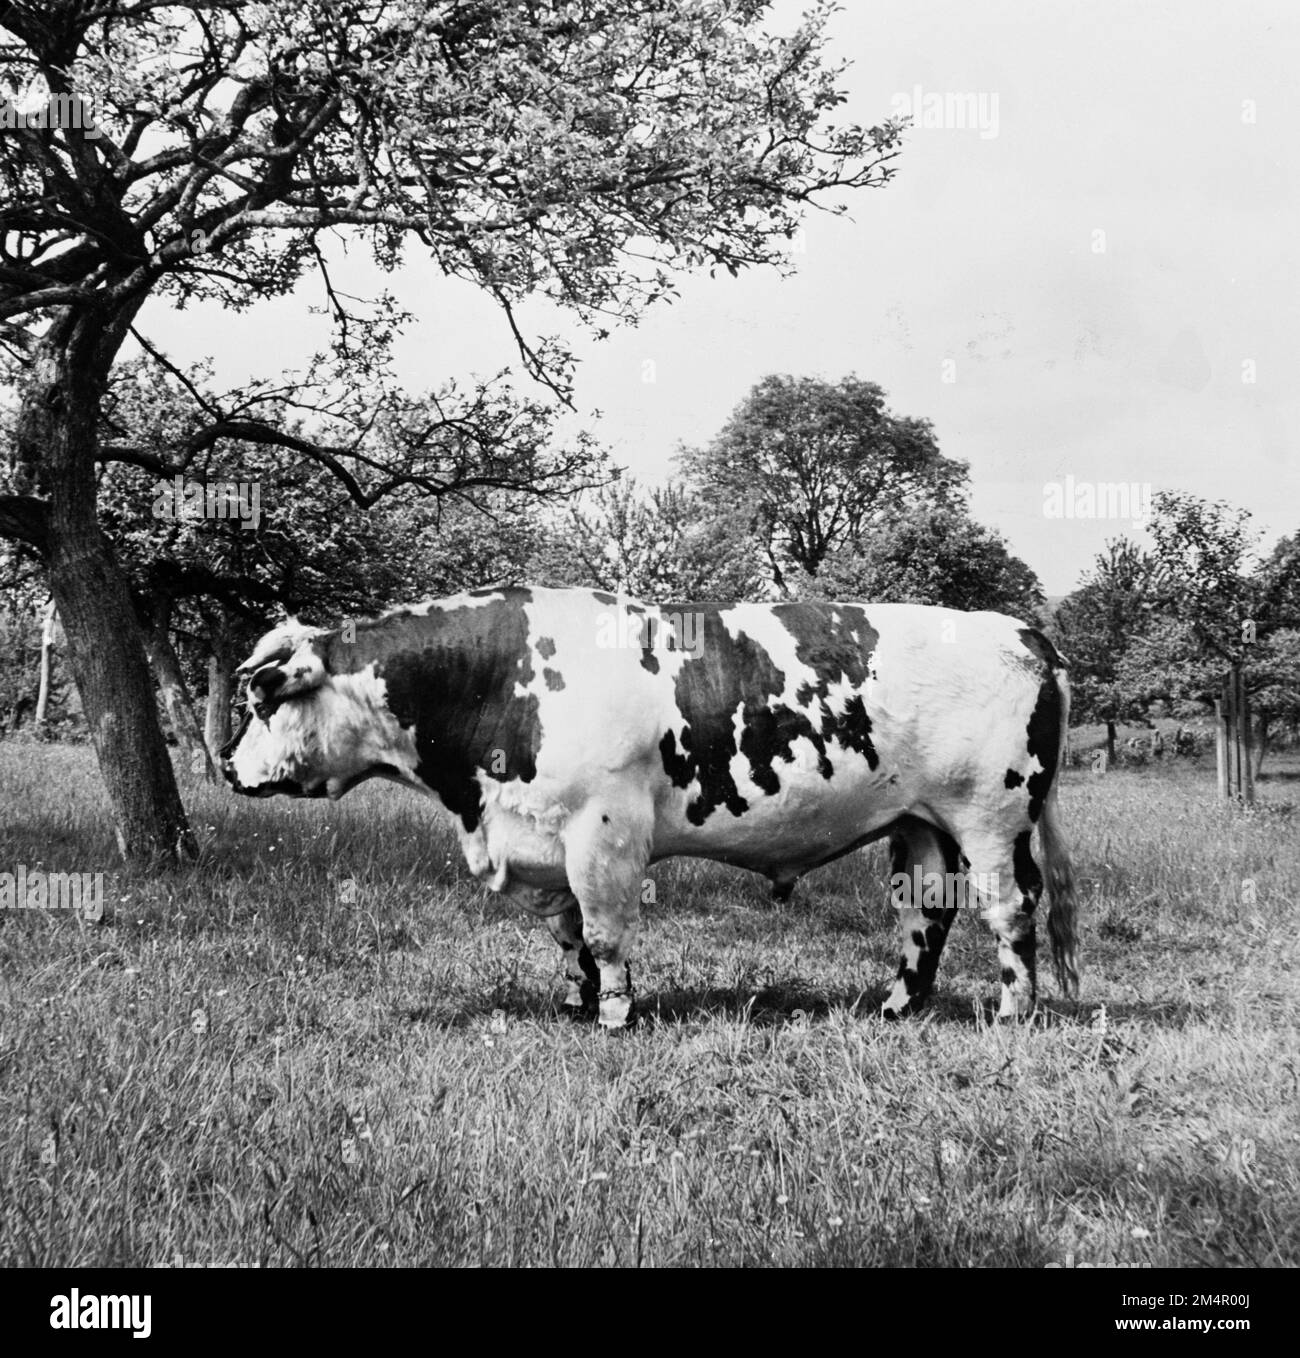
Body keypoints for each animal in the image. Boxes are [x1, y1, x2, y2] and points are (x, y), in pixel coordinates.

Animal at [222, 585, 1079, 1028]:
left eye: (262, 700)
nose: (228, 767)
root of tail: (1020, 629)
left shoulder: (602, 833)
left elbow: (603, 934)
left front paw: (614, 1014)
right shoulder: (547, 842)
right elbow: (569, 936)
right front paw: (577, 1002)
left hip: (992, 818)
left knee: (1011, 910)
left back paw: (1014, 1011)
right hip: (921, 825)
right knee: (925, 915)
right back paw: (898, 1005)